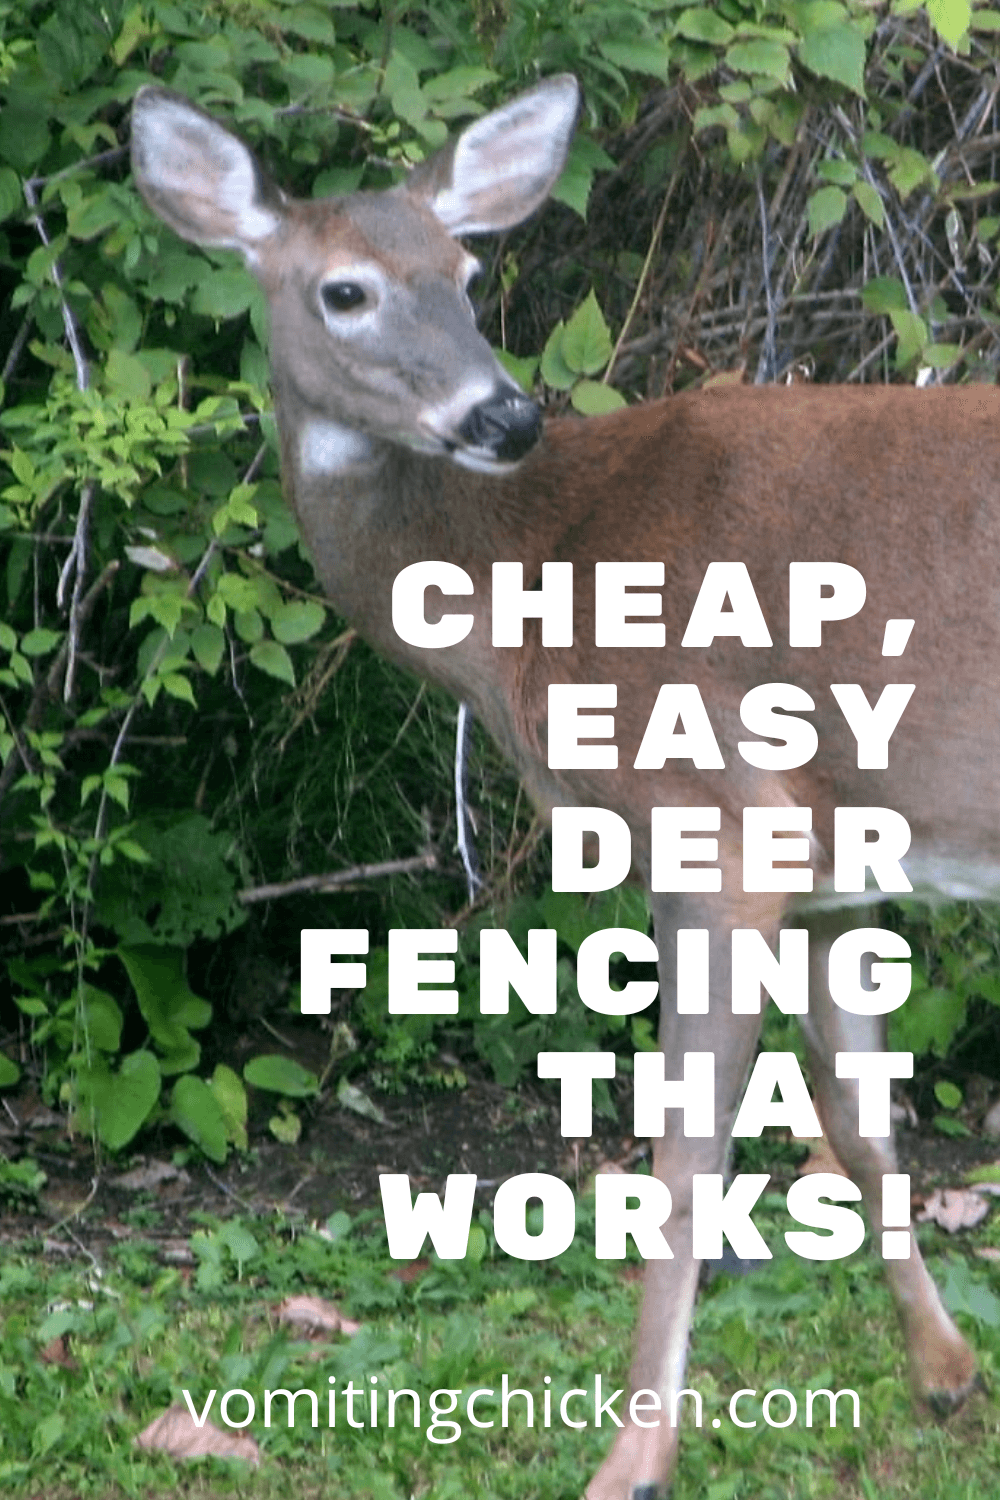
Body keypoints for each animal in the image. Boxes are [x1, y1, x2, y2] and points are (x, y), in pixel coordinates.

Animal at [131, 76, 987, 1498]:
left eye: (469, 272)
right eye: (347, 290)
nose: (502, 418)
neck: (527, 588)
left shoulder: (717, 819)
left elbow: (686, 1168)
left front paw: (630, 1463)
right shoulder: (831, 856)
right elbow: (862, 1128)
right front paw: (945, 1376)